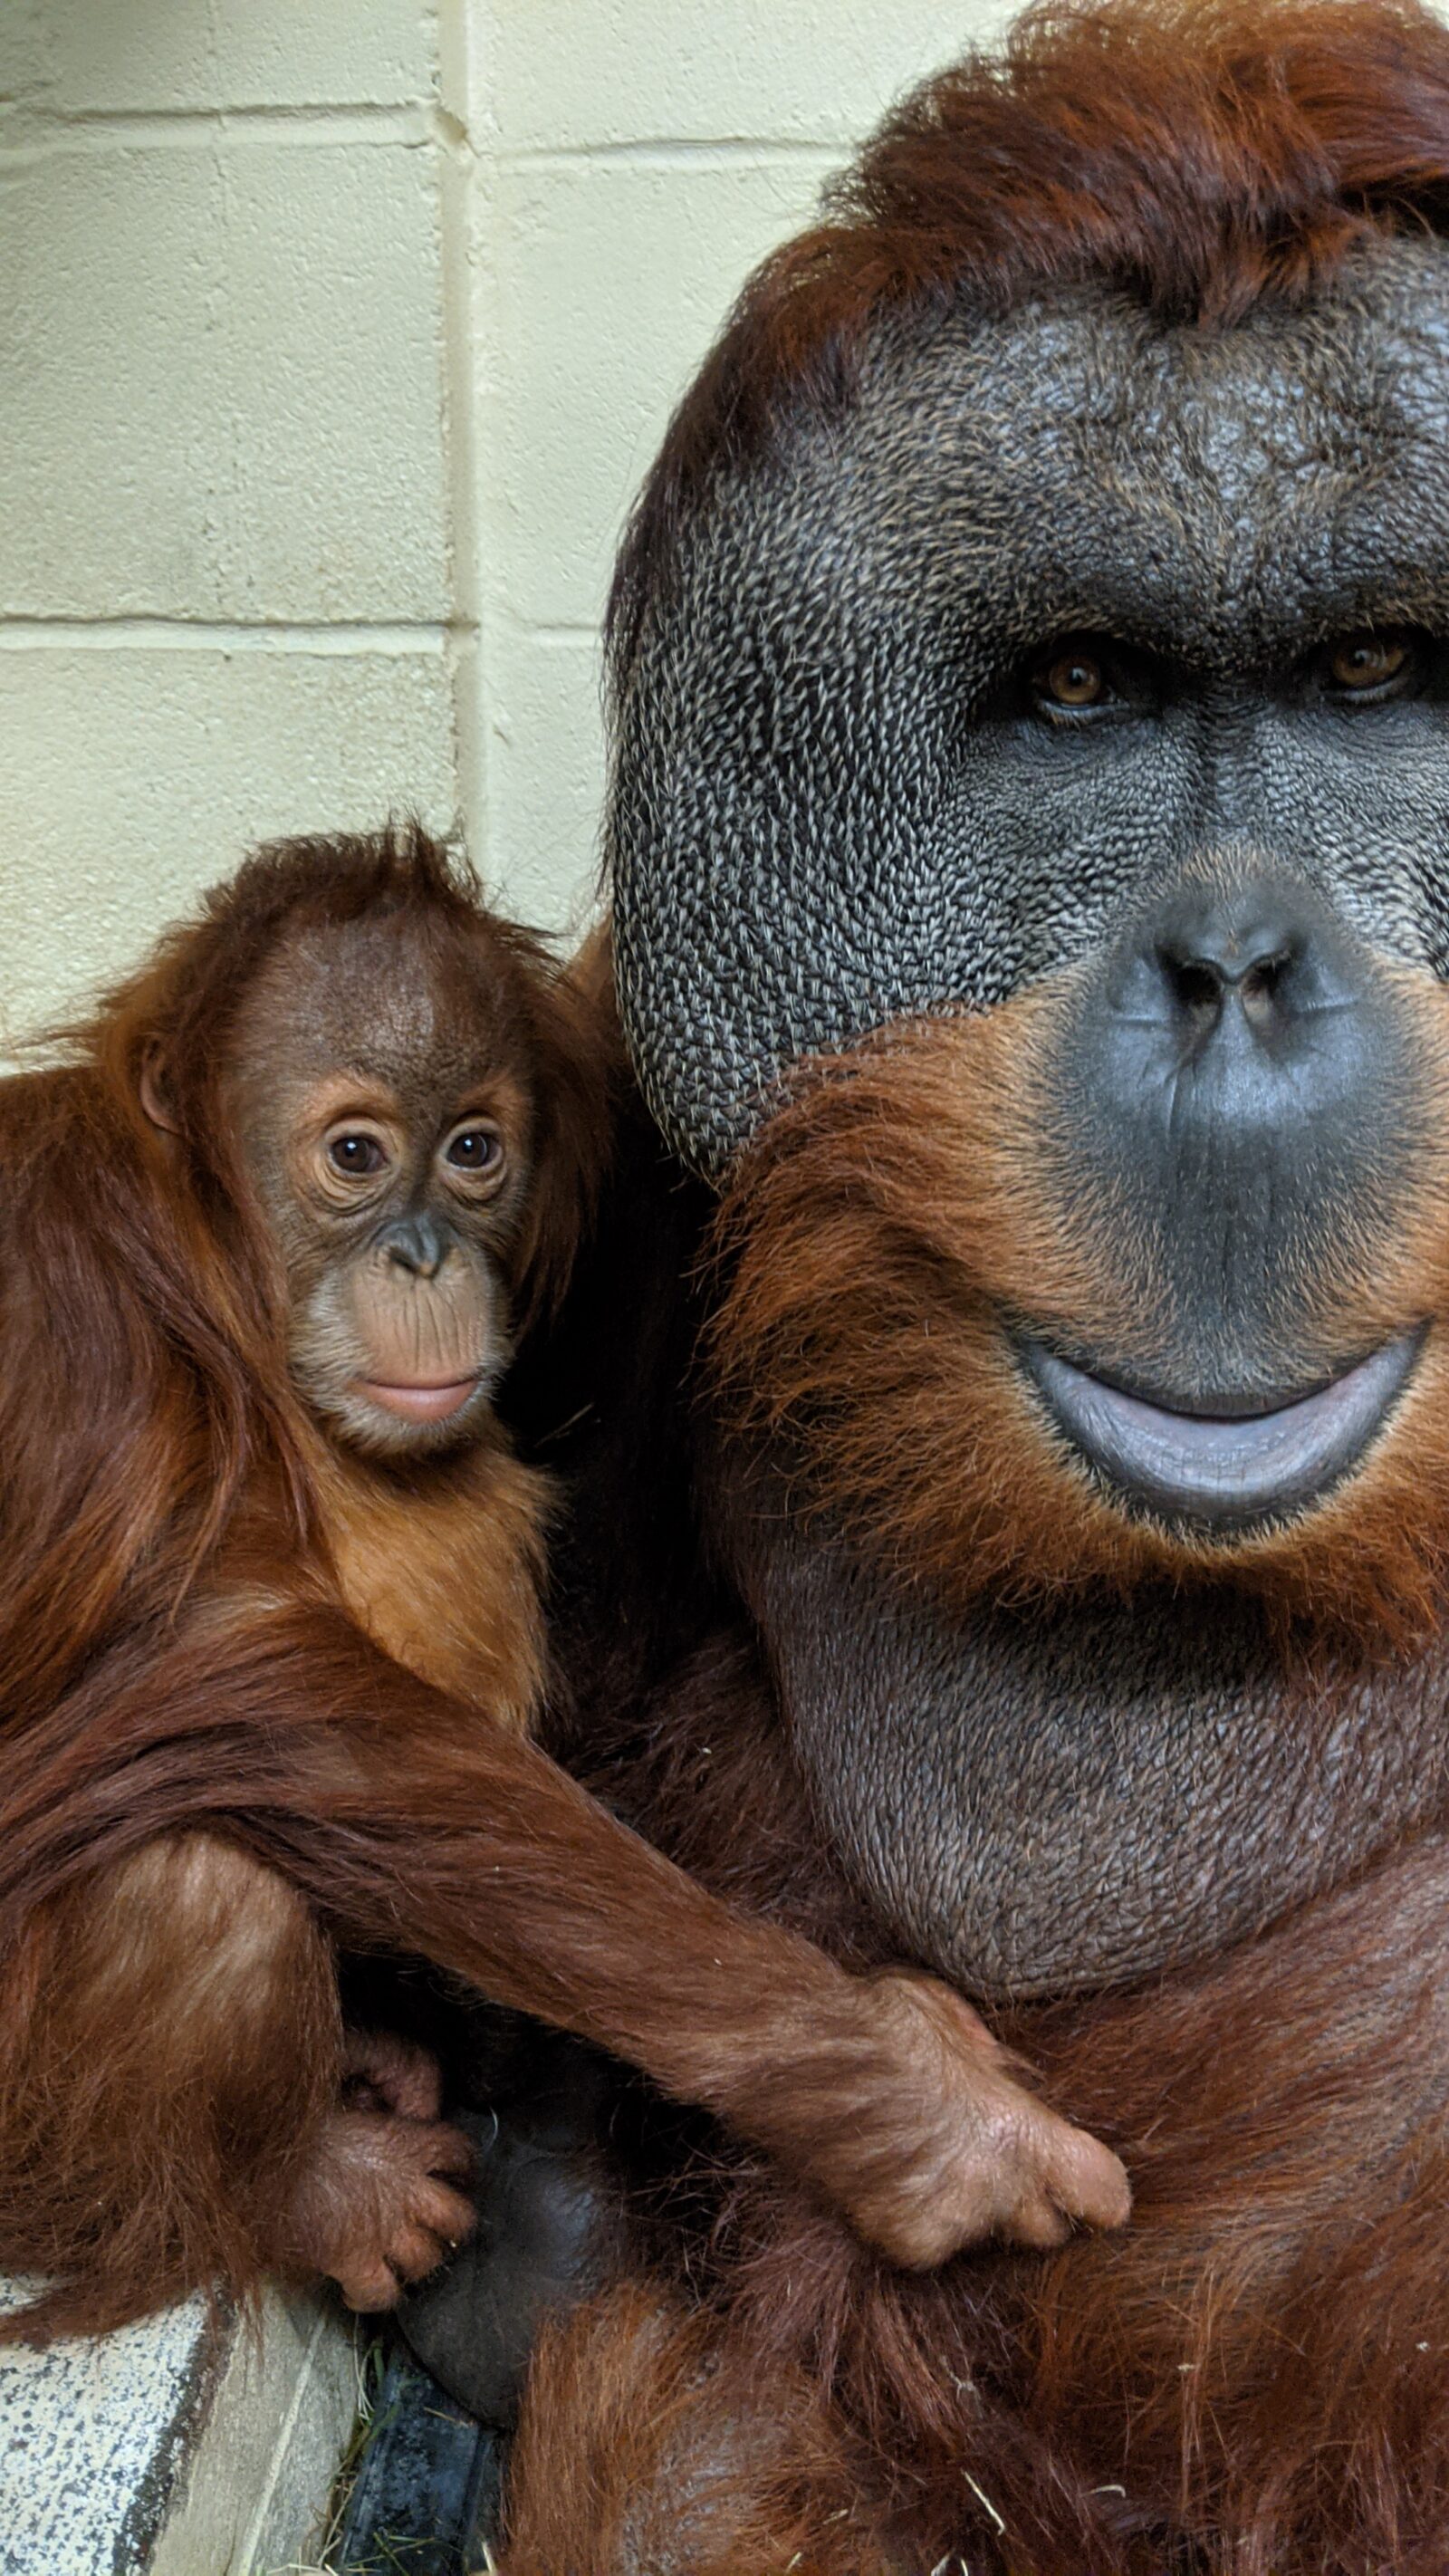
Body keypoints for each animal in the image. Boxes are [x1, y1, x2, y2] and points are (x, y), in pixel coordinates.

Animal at [0, 822, 1127, 2344]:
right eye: (354, 1155)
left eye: (474, 1151)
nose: (423, 1255)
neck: (208, 1265)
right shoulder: (77, 1324)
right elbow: (223, 1654)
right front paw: (910, 2116)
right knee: (193, 1883)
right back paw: (323, 2191)